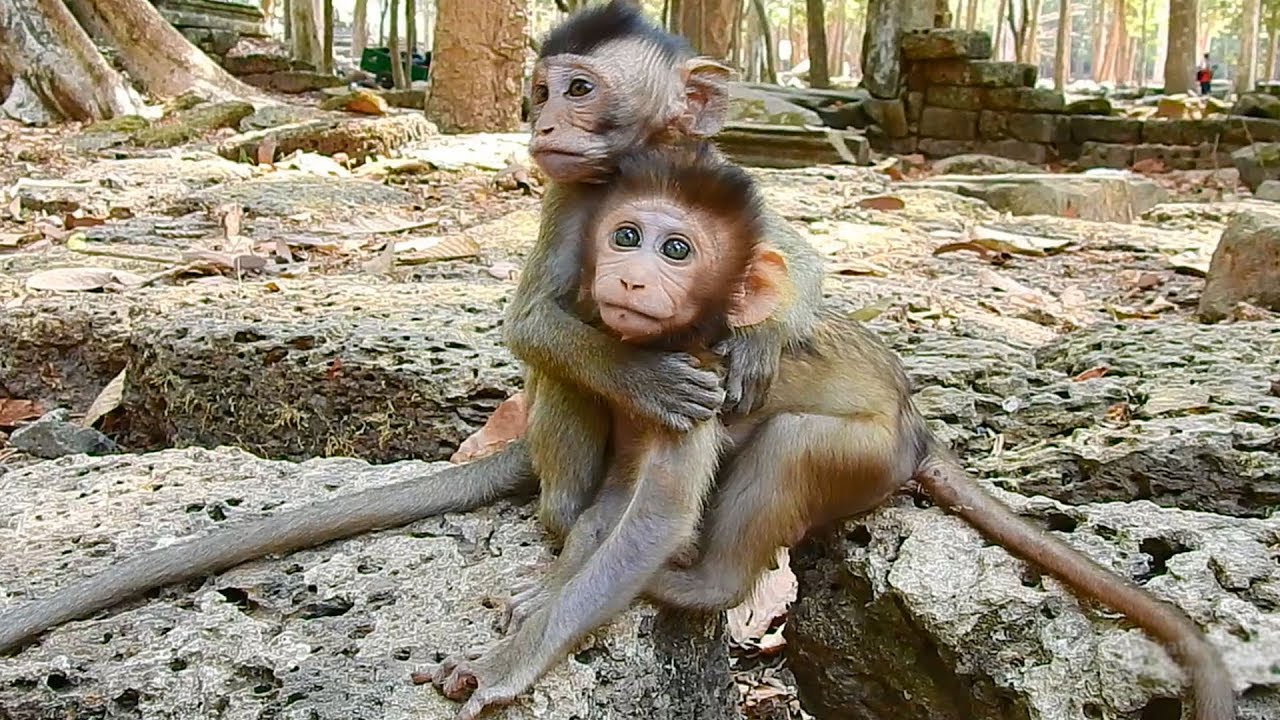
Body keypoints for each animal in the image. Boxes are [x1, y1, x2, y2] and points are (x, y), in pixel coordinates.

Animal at [0, 1, 828, 656]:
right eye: (542, 90)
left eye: (580, 88)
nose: (544, 120)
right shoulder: (573, 194)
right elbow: (530, 324)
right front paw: (653, 378)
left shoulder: (707, 167)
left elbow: (796, 258)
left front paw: (759, 341)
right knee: (563, 378)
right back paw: (574, 525)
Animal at [421, 145, 1236, 720]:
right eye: (625, 235)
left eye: (675, 249)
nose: (629, 275)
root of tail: (918, 427)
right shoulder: (641, 384)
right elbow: (612, 505)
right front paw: (552, 583)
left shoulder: (694, 377)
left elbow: (653, 521)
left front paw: (508, 662)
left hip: (871, 457)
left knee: (791, 444)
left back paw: (695, 585)